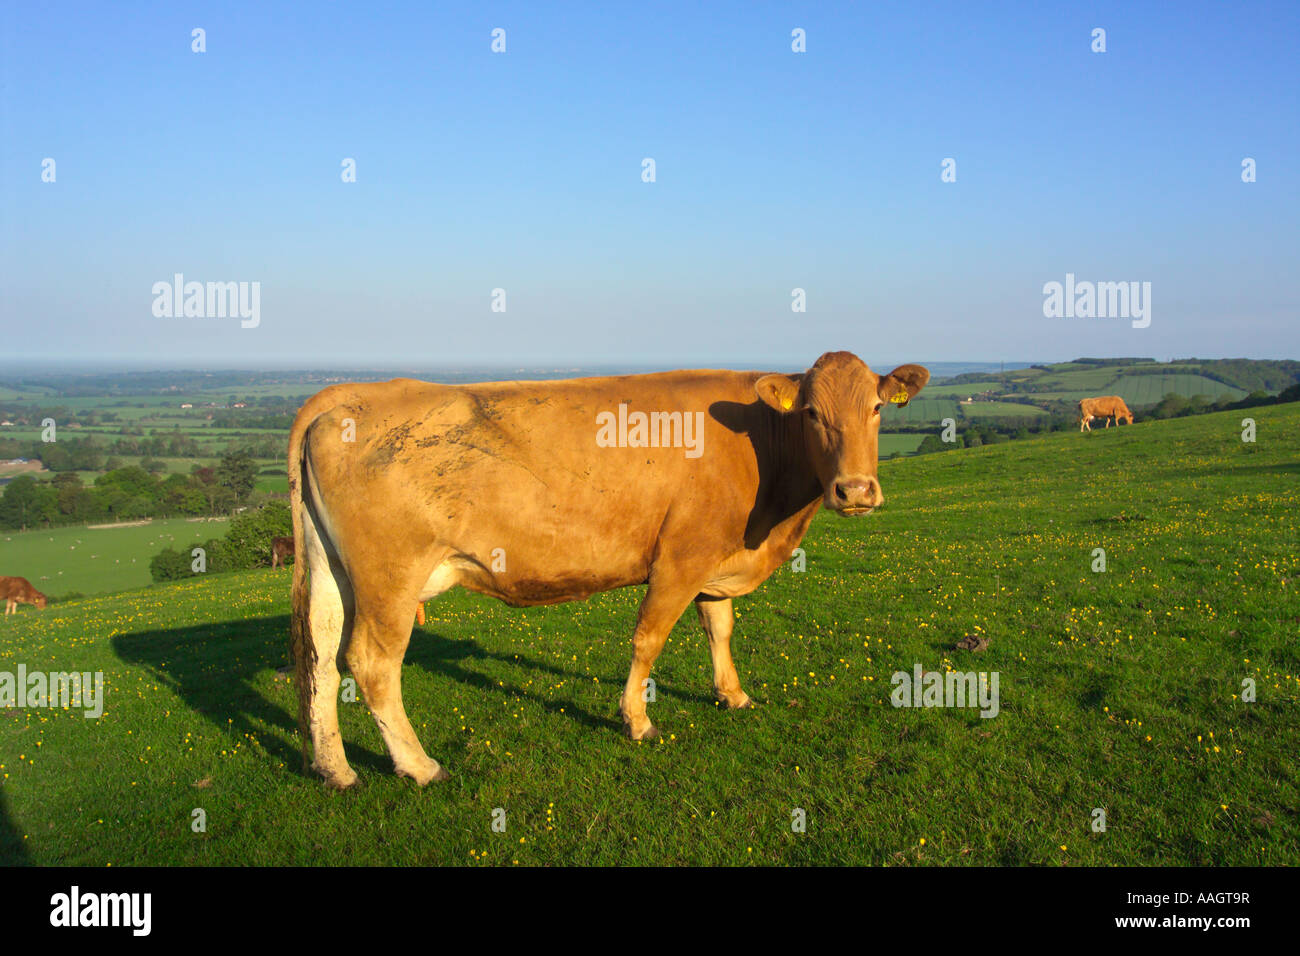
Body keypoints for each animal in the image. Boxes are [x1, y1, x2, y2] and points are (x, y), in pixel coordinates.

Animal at [288, 351, 929, 787]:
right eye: (814, 414)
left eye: (876, 409)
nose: (855, 490)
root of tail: (349, 395)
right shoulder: (681, 558)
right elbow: (648, 639)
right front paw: (637, 721)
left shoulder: (715, 559)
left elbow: (720, 627)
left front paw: (733, 694)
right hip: (390, 577)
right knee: (371, 664)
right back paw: (419, 765)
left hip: (331, 570)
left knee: (319, 657)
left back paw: (334, 769)